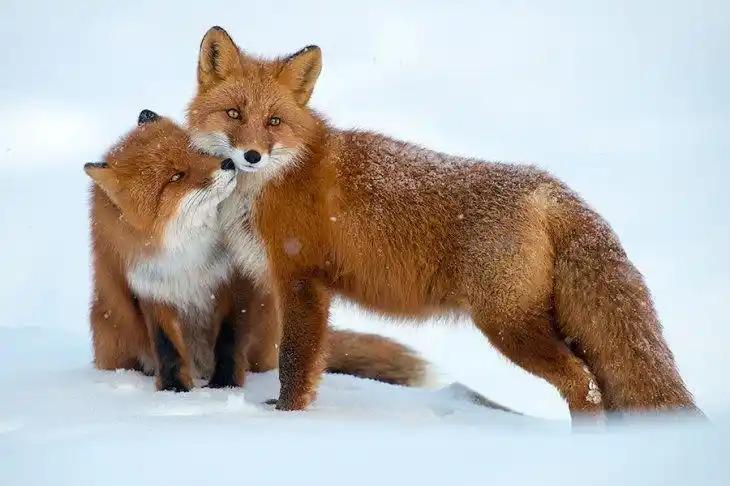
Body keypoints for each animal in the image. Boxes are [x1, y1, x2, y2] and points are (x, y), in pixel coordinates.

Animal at [85, 108, 431, 392]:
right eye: (175, 177)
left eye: (198, 151)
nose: (228, 163)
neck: (189, 257)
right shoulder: (154, 292)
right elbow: (167, 350)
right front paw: (175, 393)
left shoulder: (235, 282)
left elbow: (230, 340)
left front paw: (224, 388)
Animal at [184, 26, 702, 420]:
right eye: (234, 114)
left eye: (273, 121)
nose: (251, 155)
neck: (277, 178)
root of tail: (547, 187)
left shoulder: (301, 279)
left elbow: (295, 364)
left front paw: (286, 420)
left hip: (508, 326)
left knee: (584, 384)